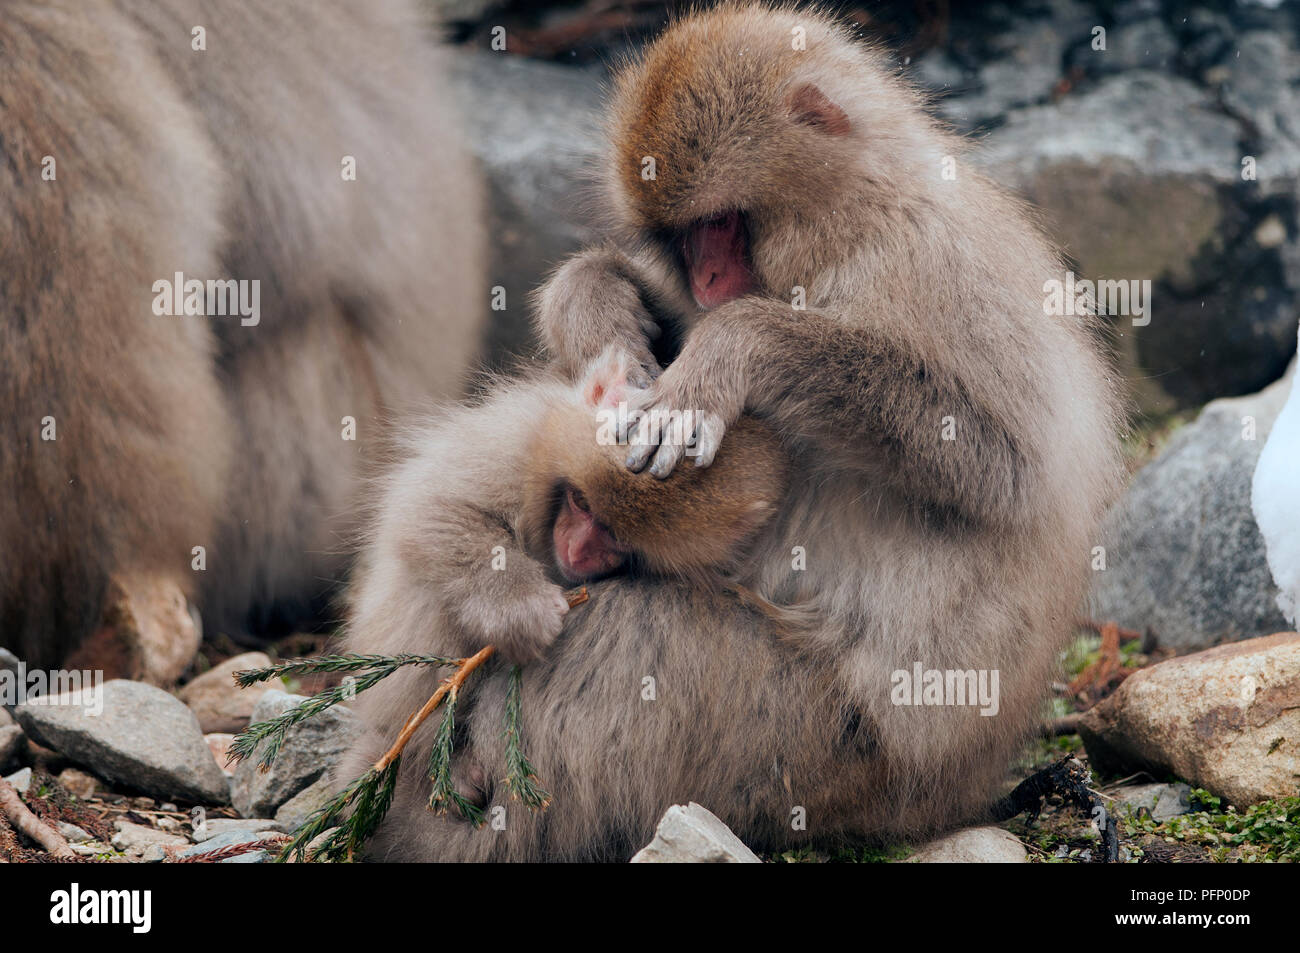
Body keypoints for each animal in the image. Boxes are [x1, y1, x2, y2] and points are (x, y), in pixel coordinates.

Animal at [339, 2, 1123, 861]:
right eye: (680, 238)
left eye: (720, 223)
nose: (710, 280)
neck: (852, 215)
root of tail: (956, 790)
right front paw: (597, 310)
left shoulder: (930, 261)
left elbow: (999, 463)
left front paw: (738, 345)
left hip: (813, 744)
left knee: (634, 638)